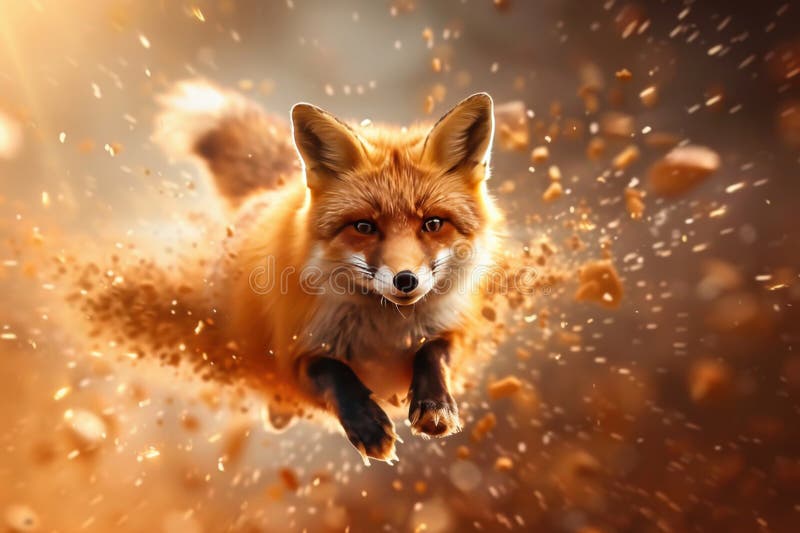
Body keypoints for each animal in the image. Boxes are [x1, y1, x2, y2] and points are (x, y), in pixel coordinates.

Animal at [149, 82, 504, 464]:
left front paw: (435, 404)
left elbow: (432, 353)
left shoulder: (457, 333)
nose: (405, 280)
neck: (386, 330)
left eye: (433, 224)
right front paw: (368, 425)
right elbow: (335, 371)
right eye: (364, 226)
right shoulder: (294, 354)